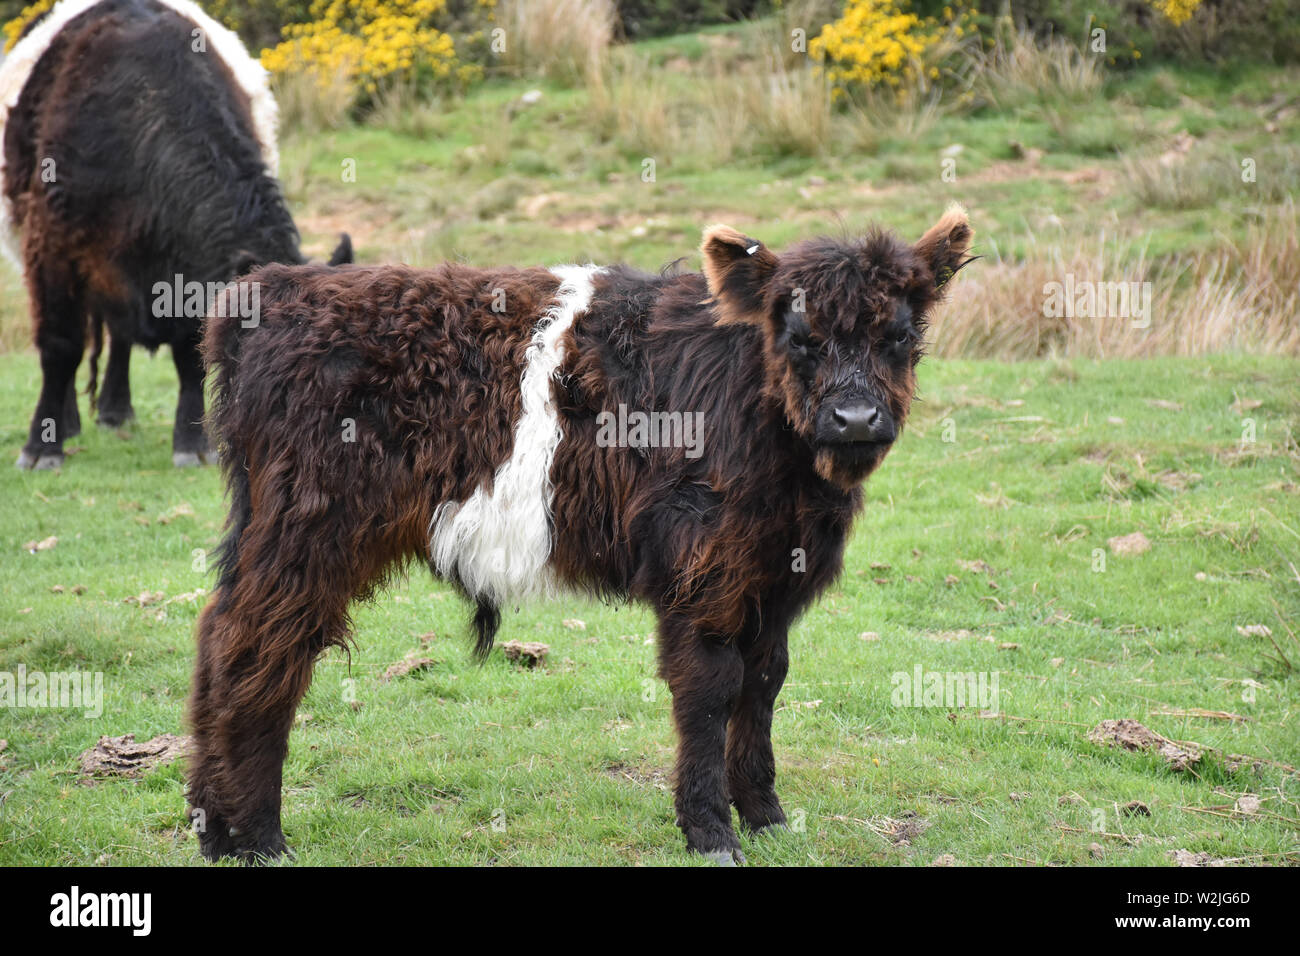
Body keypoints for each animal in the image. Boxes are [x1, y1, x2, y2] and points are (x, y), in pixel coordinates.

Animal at [0, 0, 351, 470]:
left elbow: (190, 354)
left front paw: (191, 442)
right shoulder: (52, 247)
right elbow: (61, 345)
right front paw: (42, 445)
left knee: (119, 337)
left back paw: (114, 410)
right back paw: (69, 422)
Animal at [189, 207, 975, 863]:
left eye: (899, 336)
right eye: (802, 338)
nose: (855, 418)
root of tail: (274, 289)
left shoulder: (775, 576)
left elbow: (763, 683)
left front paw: (767, 818)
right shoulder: (703, 572)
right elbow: (711, 688)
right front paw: (711, 831)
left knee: (220, 635)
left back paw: (211, 823)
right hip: (306, 530)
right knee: (259, 646)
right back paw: (257, 837)